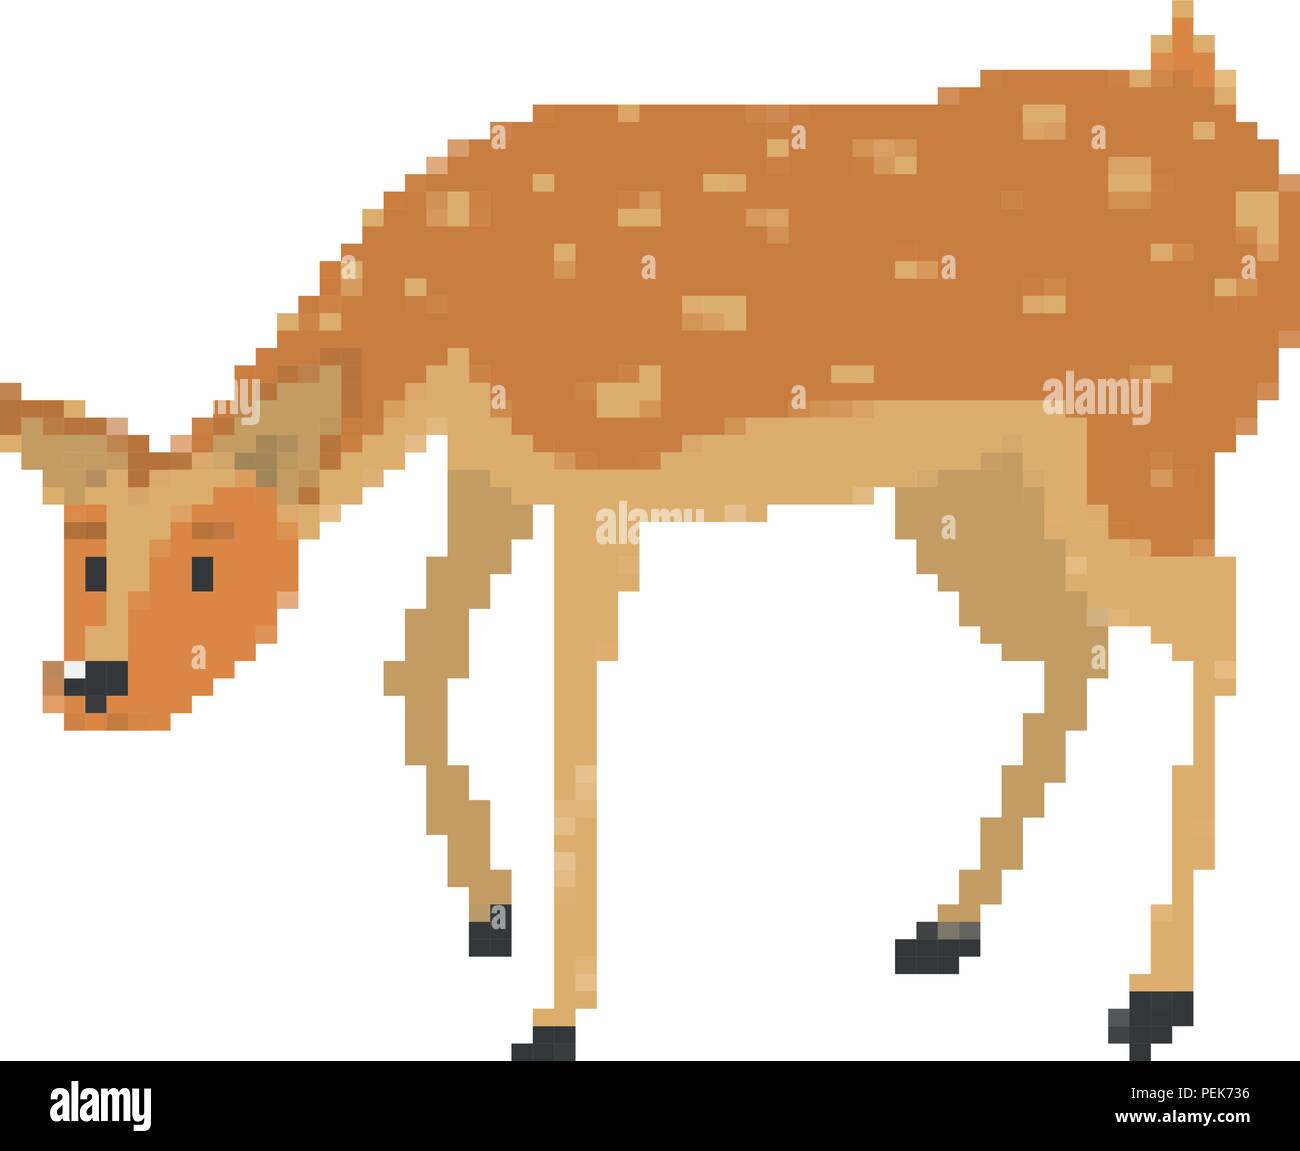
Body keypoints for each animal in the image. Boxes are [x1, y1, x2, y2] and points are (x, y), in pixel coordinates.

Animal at [1, 1, 1295, 1060]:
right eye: (85, 549)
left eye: (208, 559)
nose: (91, 683)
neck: (448, 334)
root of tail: (1225, 113)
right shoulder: (493, 471)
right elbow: (417, 655)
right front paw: (490, 908)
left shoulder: (597, 471)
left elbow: (570, 713)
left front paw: (555, 1017)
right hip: (971, 485)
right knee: (1076, 639)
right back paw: (942, 927)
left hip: (1149, 438)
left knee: (1215, 619)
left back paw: (1150, 997)